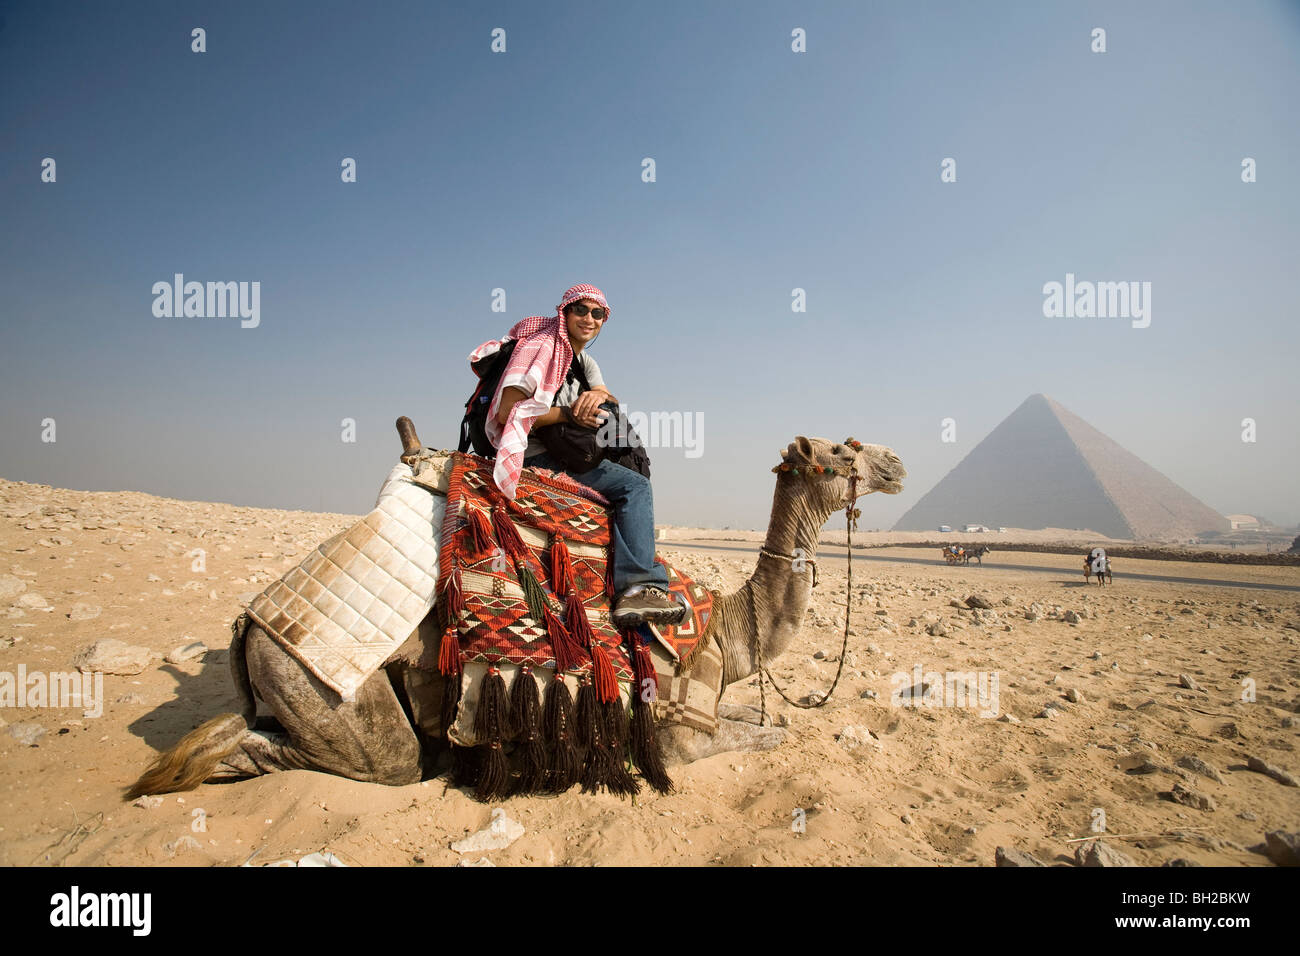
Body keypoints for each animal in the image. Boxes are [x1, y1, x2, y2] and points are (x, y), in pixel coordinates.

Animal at [127, 433, 905, 798]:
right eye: (842, 450)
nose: (896, 463)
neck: (731, 626)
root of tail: (249, 625)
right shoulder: (678, 728)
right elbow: (768, 738)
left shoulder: (708, 704)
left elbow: (765, 722)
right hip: (325, 689)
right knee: (352, 756)